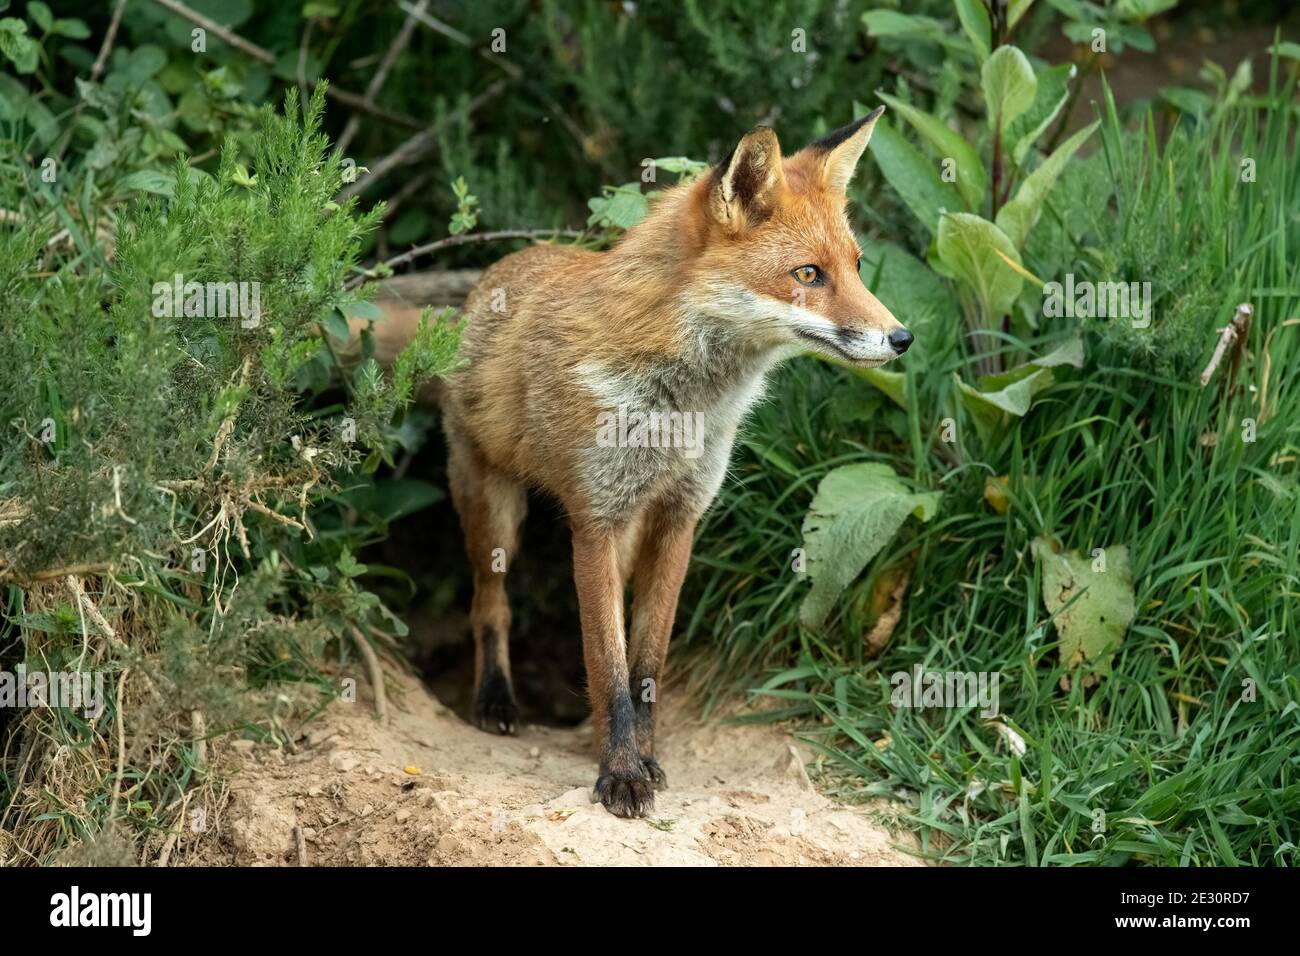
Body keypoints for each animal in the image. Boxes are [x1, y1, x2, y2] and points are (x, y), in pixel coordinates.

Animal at [386, 106, 911, 818]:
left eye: (856, 267)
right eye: (808, 275)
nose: (902, 338)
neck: (683, 408)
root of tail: (500, 269)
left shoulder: (678, 518)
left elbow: (646, 665)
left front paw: (645, 757)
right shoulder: (595, 522)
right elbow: (605, 664)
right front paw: (620, 776)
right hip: (493, 509)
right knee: (489, 604)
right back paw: (494, 699)